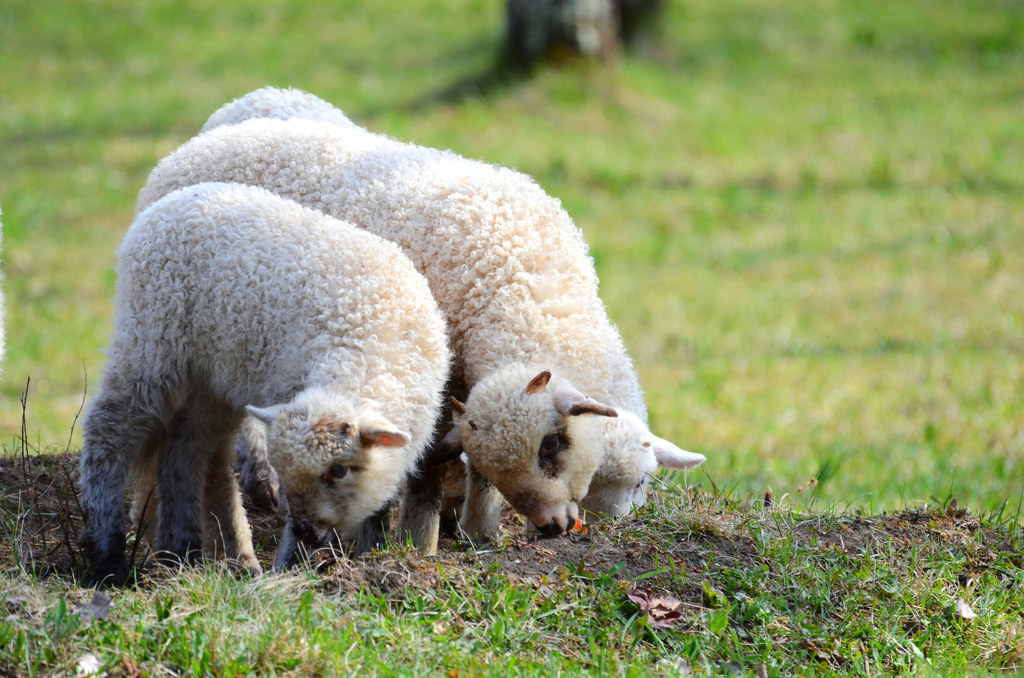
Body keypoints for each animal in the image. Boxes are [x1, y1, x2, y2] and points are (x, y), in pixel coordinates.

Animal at [78, 182, 450, 584]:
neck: (367, 346)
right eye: (283, 472)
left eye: (338, 470)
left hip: (214, 376)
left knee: (185, 449)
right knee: (110, 427)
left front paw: (372, 555)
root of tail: (174, 198)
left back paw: (185, 554)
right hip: (151, 338)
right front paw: (291, 569)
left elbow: (379, 505)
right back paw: (109, 556)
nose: (305, 532)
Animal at [136, 114, 705, 548]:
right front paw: (421, 538)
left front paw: (477, 530)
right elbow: (432, 464)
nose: (555, 527)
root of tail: (192, 146)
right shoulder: (441, 379)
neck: (522, 280)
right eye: (551, 446)